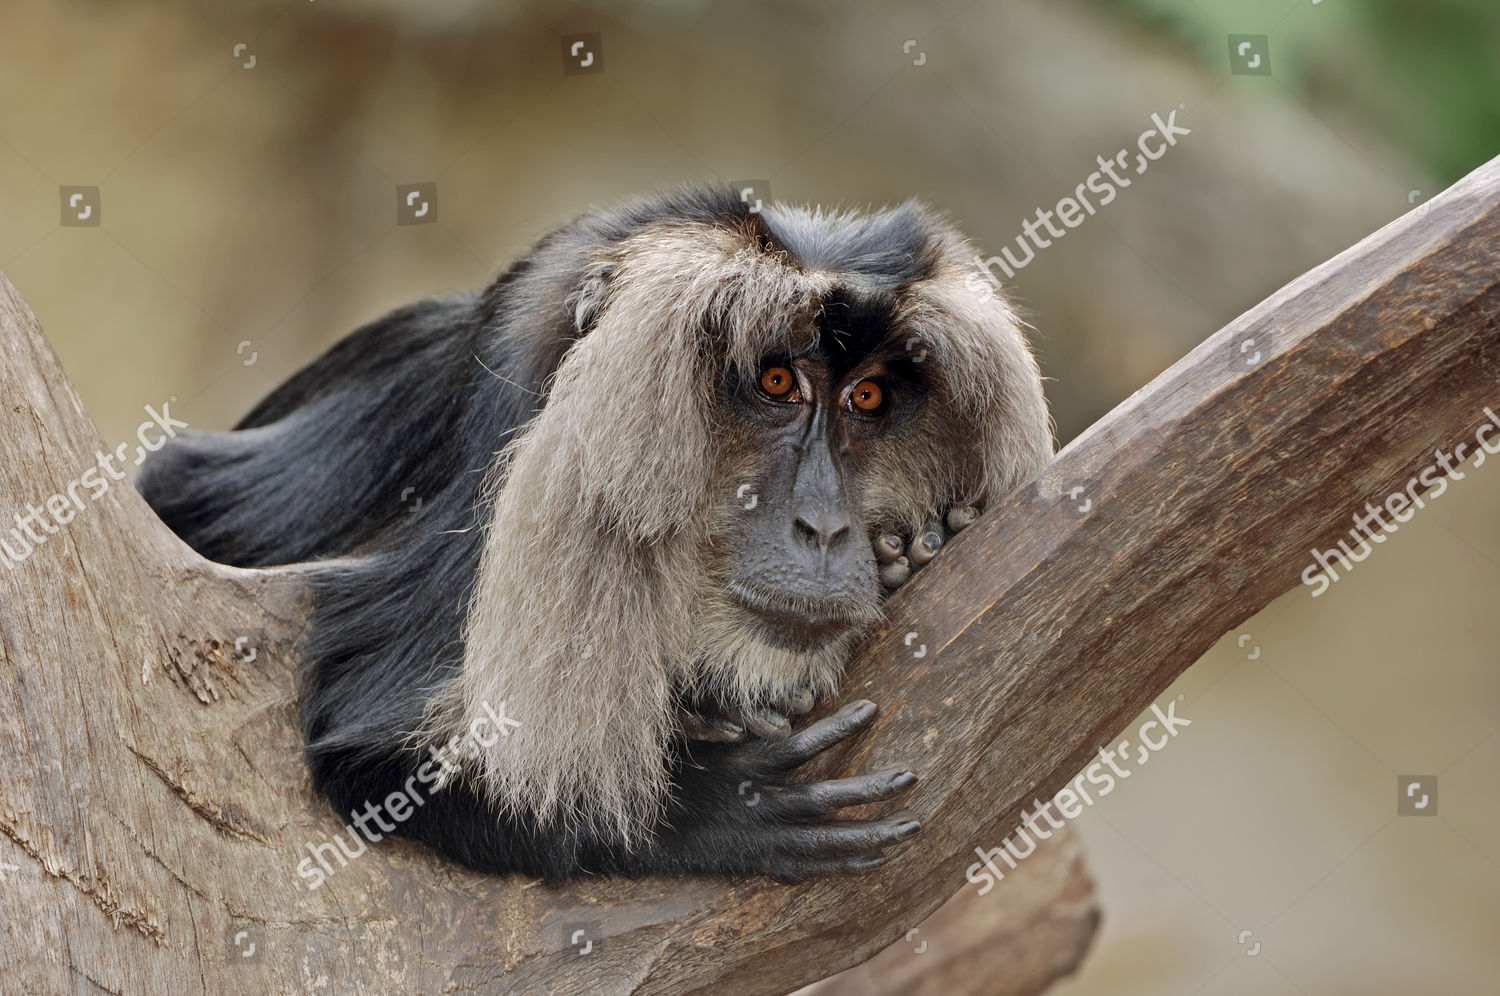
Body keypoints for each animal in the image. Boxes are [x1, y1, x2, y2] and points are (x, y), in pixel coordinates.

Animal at [138, 187, 1053, 881]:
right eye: (776, 381)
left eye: (866, 398)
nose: (824, 528)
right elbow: (370, 749)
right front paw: (711, 805)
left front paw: (915, 554)